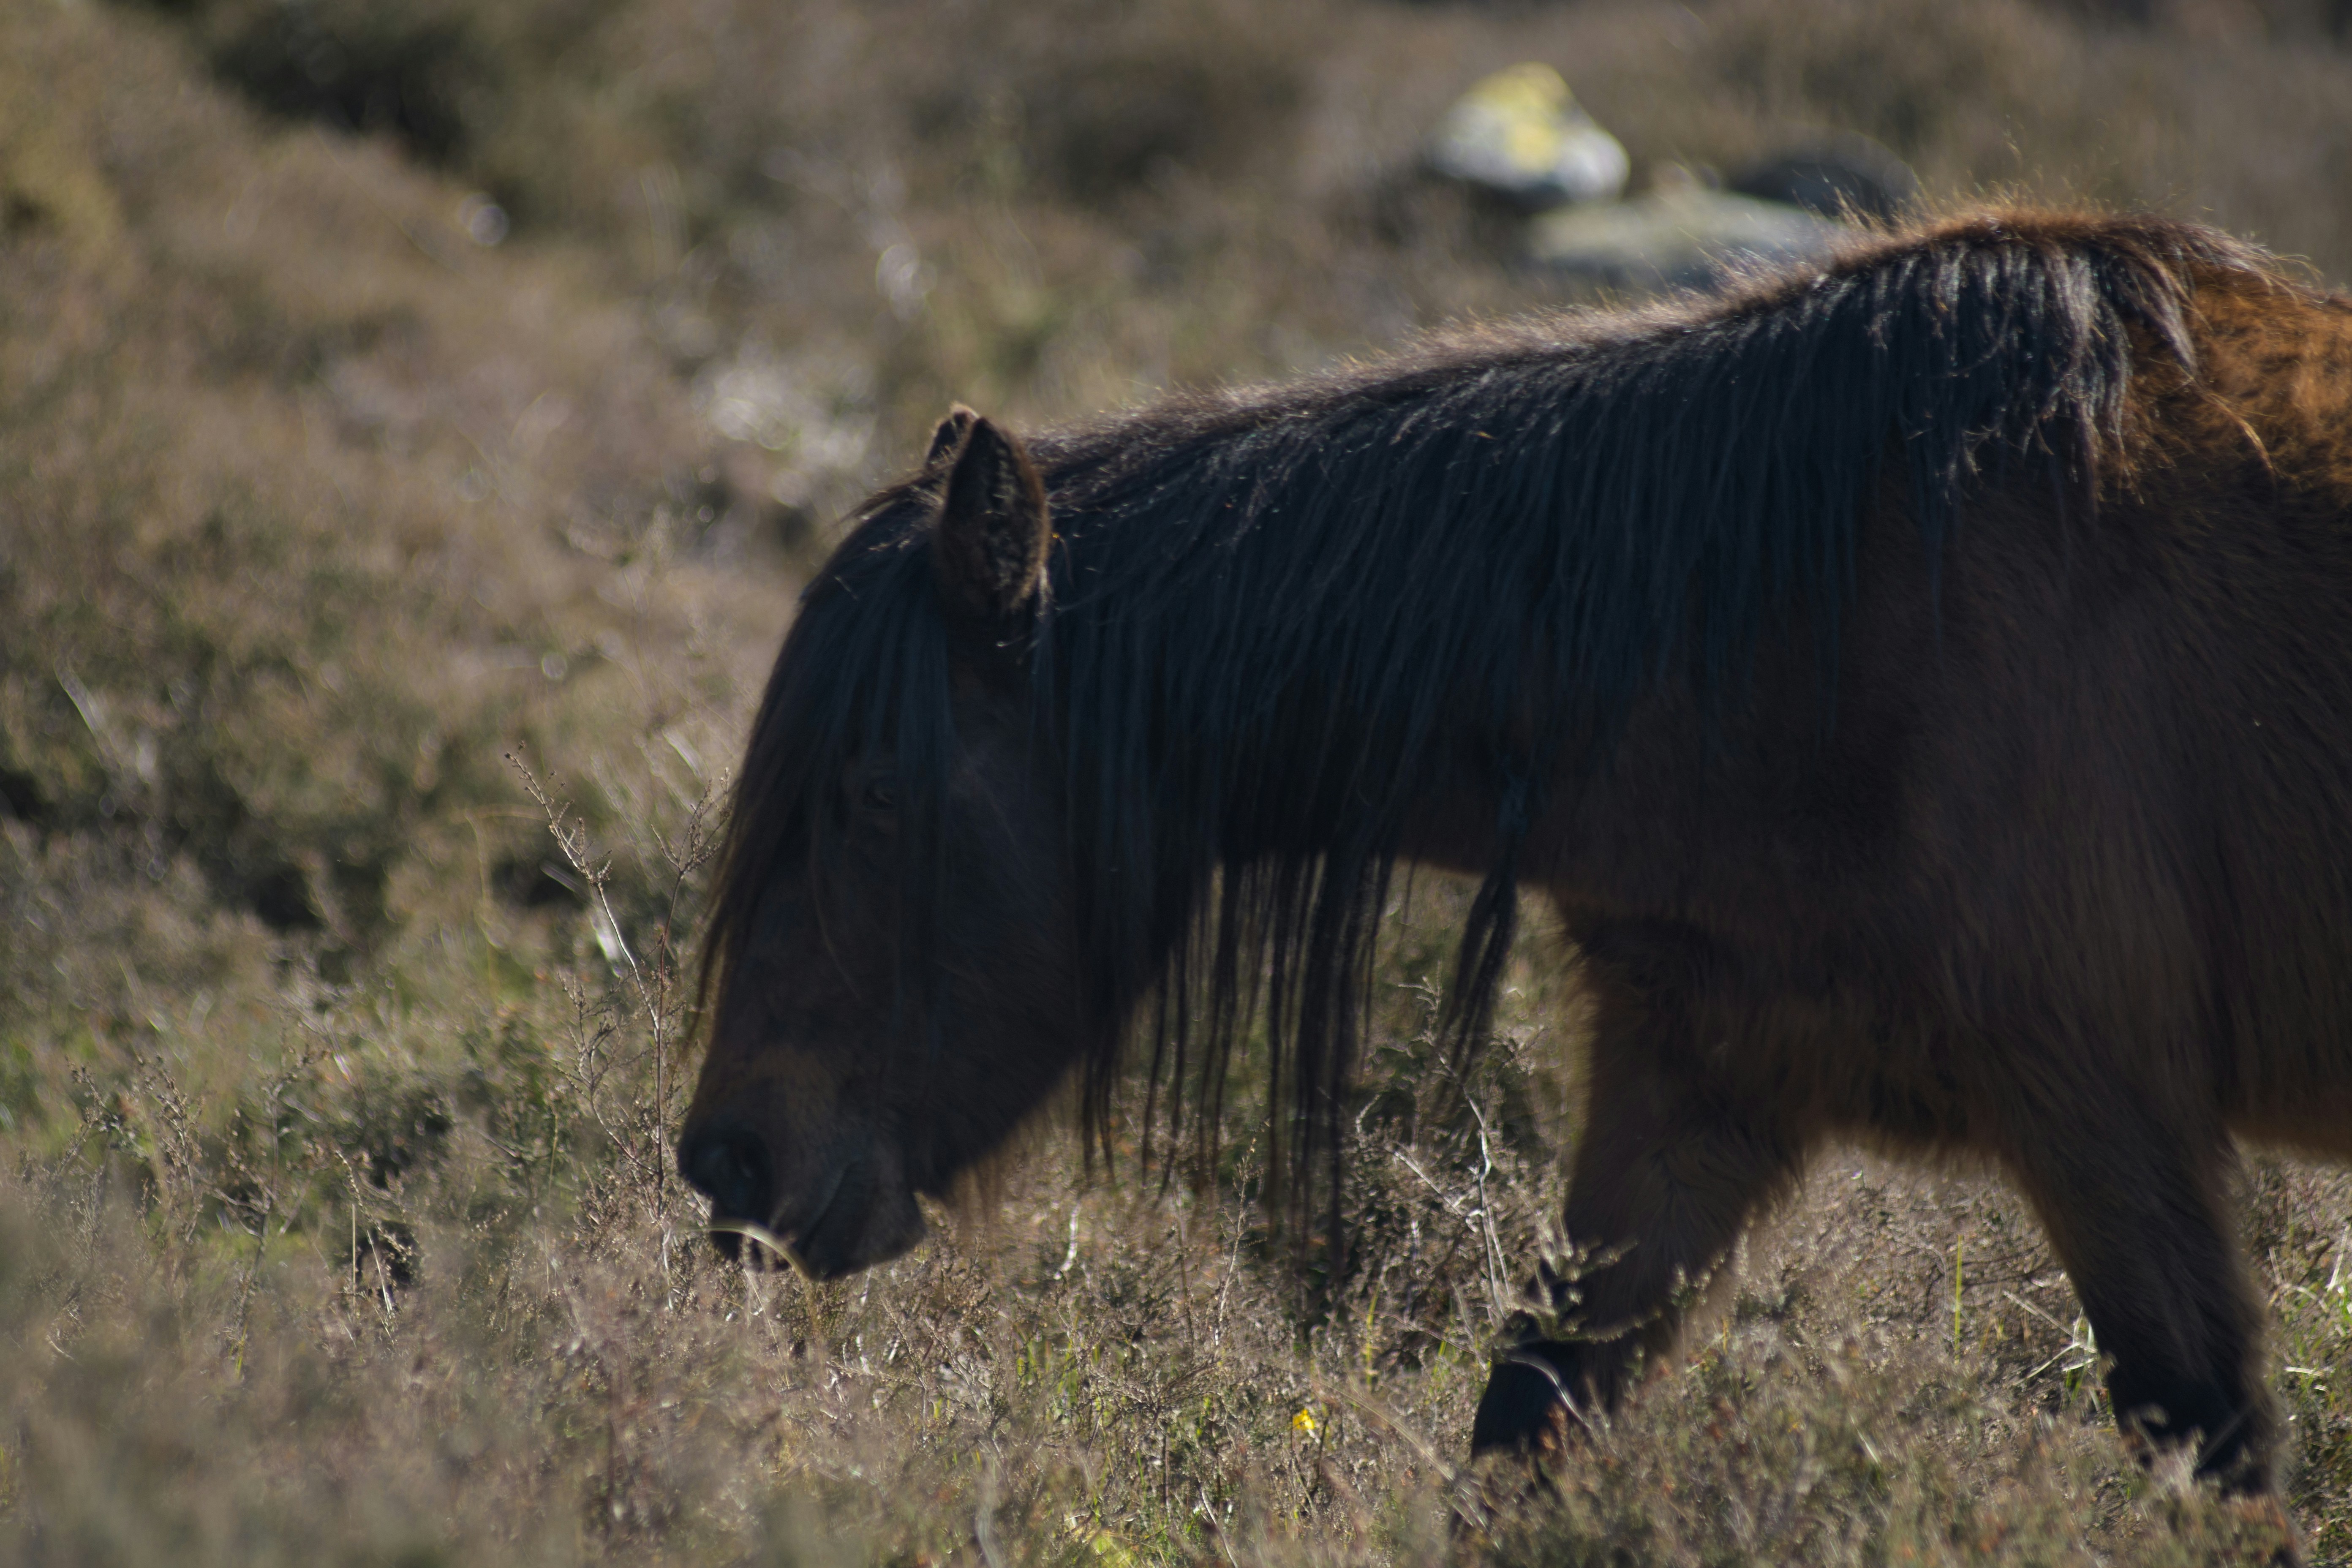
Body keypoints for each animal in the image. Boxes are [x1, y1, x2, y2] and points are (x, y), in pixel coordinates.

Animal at [677, 208, 2352, 1513]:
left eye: (874, 788)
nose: (722, 1158)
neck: (1834, 611)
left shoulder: (2104, 1115)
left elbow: (2217, 1449)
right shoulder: (1692, 1100)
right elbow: (1525, 1420)